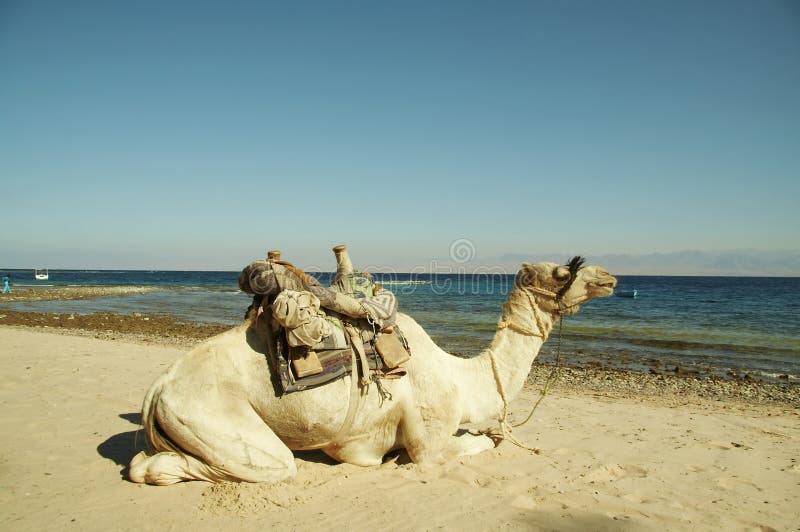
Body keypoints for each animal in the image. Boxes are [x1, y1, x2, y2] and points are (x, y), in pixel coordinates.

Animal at [129, 259, 617, 485]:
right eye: (562, 272)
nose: (609, 277)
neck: (462, 378)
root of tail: (157, 389)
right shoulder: (428, 442)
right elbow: (473, 446)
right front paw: (488, 437)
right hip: (215, 420)